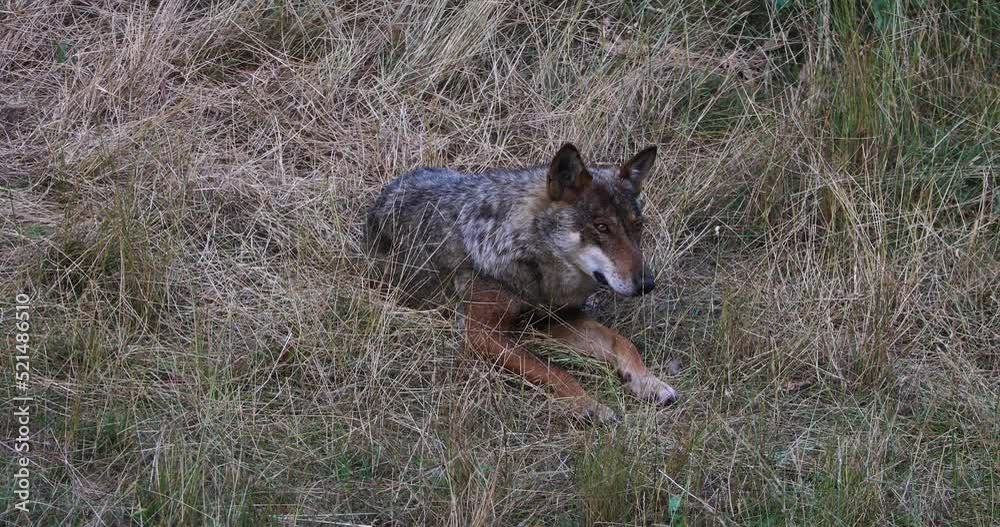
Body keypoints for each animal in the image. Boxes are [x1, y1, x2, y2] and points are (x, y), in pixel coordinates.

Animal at [364, 143, 677, 422]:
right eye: (602, 227)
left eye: (637, 226)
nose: (647, 284)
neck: (528, 252)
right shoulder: (479, 334)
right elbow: (554, 370)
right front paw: (588, 404)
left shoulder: (555, 319)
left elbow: (622, 342)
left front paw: (649, 381)